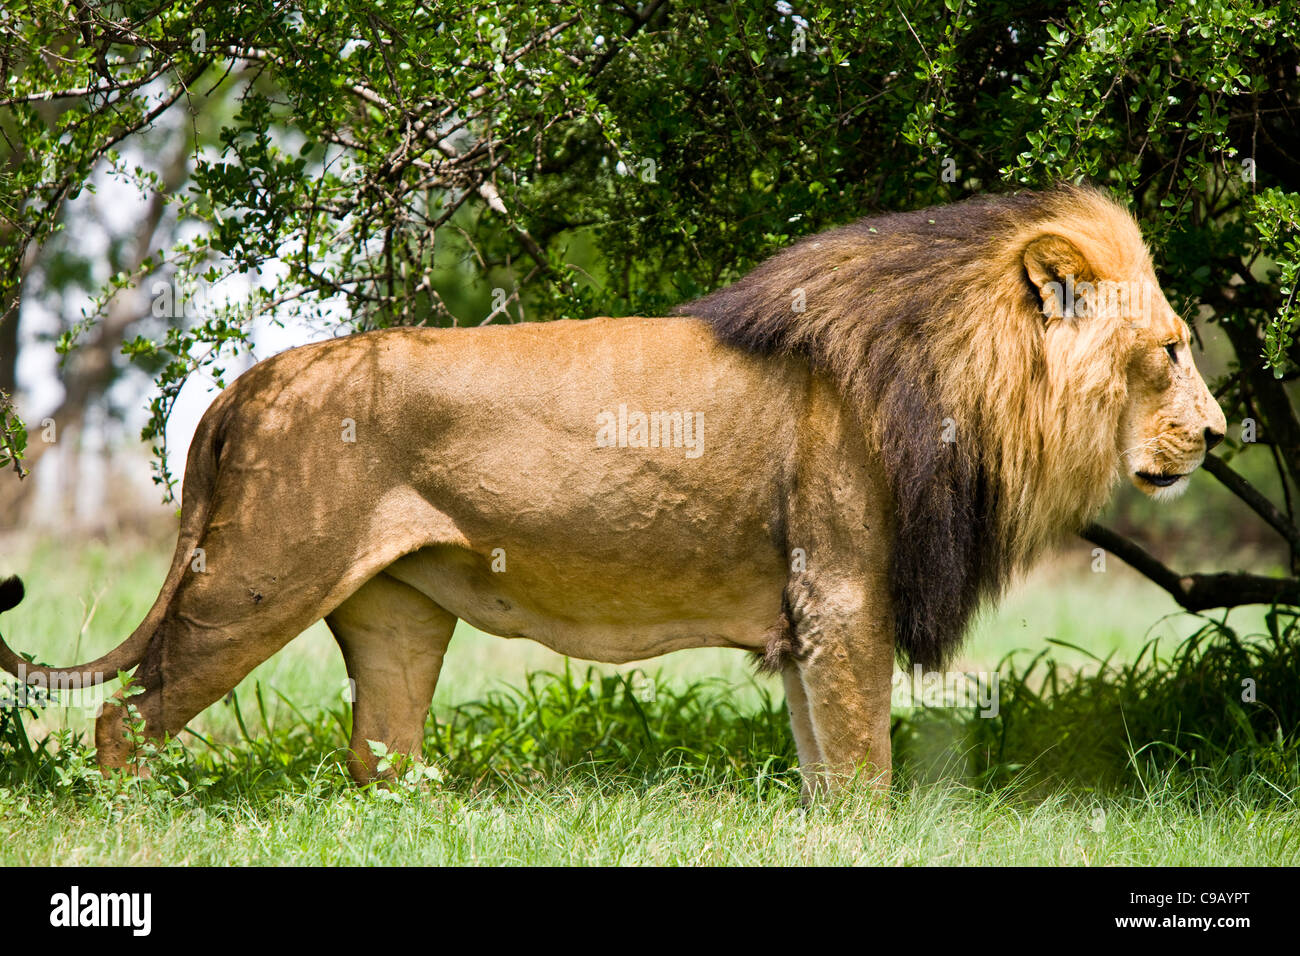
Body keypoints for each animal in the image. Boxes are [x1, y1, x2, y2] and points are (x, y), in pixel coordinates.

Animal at [0, 184, 1225, 799]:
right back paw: (133, 815)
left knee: (376, 754)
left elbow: (824, 763)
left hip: (397, 615)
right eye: (1169, 351)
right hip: (254, 581)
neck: (967, 373)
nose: (1217, 434)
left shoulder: (813, 614)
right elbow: (864, 765)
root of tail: (246, 379)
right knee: (121, 718)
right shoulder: (841, 591)